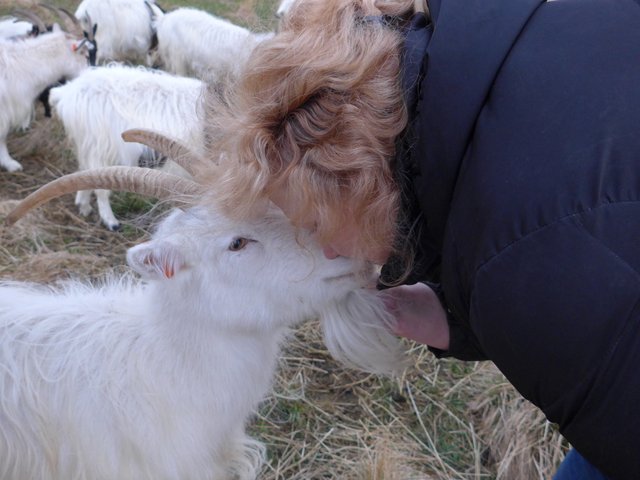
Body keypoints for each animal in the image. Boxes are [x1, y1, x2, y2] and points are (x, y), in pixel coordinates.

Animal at [49, 64, 205, 230]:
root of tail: (68, 90)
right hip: (99, 148)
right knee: (99, 188)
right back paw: (111, 222)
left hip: (88, 145)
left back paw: (83, 205)